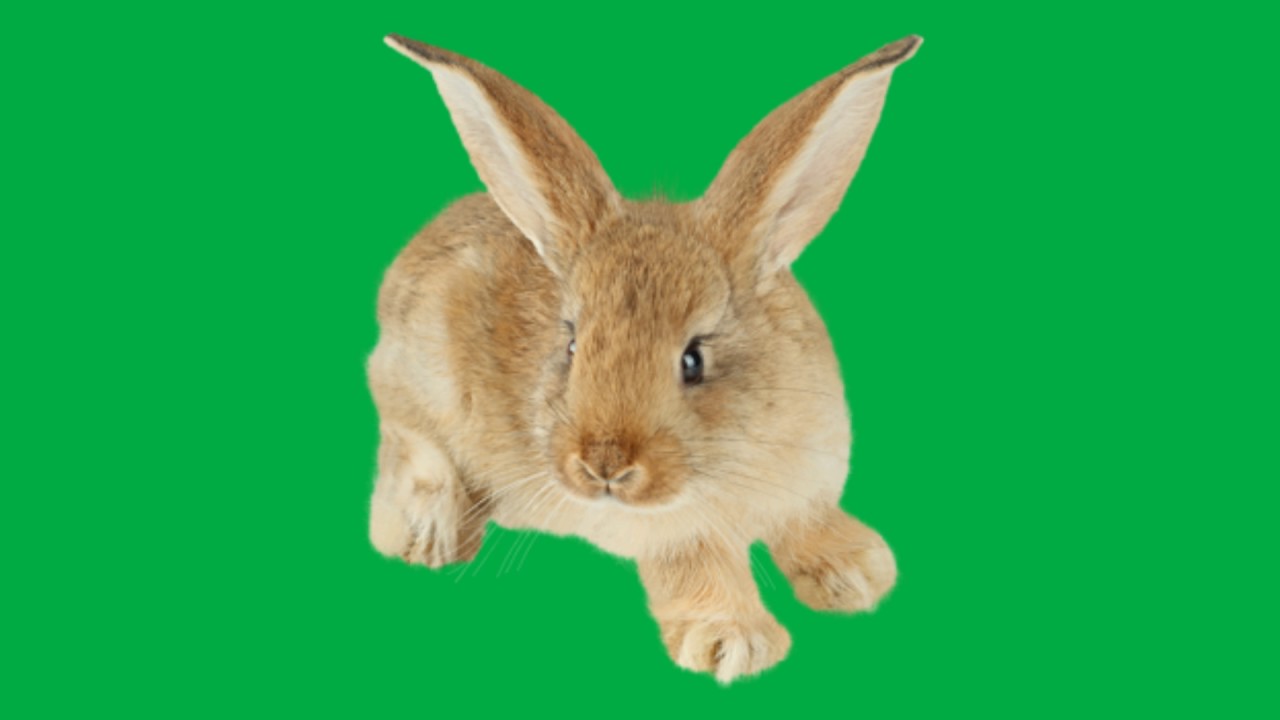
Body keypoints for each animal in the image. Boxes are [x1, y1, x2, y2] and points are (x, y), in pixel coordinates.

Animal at [368, 33, 921, 683]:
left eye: (693, 360)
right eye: (572, 344)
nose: (603, 465)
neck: (734, 457)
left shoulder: (804, 487)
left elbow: (806, 524)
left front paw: (857, 572)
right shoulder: (675, 535)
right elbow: (699, 569)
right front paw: (732, 642)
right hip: (420, 375)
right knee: (406, 439)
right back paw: (428, 532)